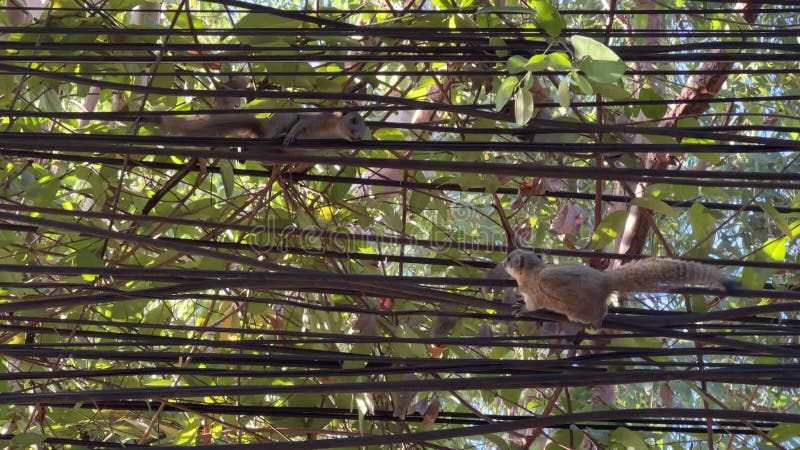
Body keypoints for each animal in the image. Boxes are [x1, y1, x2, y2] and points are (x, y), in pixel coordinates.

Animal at [503, 249, 739, 327]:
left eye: (509, 259)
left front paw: (522, 309)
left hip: (579, 312)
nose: (503, 263)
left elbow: (532, 306)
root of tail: (604, 281)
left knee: (598, 312)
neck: (534, 270)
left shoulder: (533, 293)